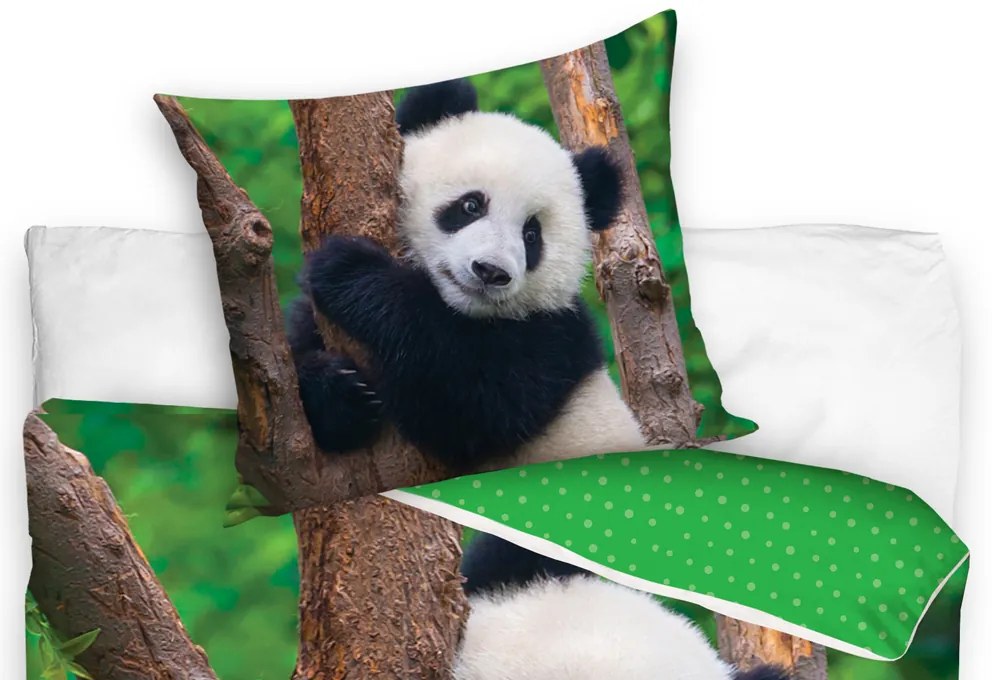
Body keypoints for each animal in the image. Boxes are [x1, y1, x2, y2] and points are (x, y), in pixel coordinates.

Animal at [289, 78, 646, 472]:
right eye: (471, 205)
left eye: (531, 235)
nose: (490, 271)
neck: (463, 312)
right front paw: (337, 393)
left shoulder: (555, 342)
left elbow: (470, 402)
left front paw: (348, 270)